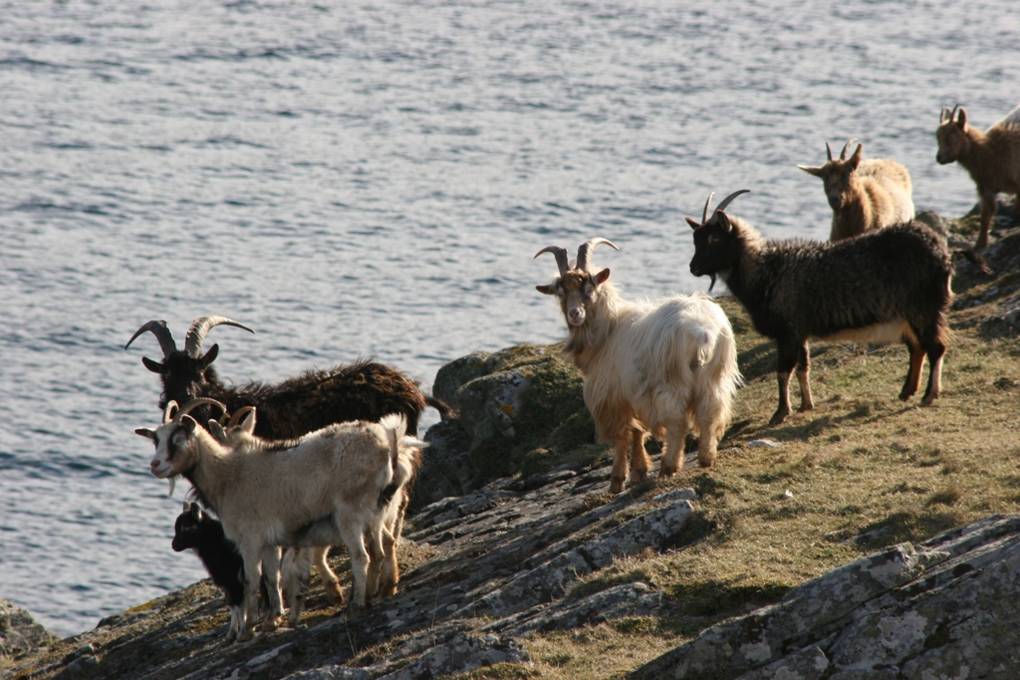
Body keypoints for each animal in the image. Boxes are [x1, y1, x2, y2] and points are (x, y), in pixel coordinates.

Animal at [136, 401, 424, 640]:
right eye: (156, 439)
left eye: (178, 438)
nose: (155, 466)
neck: (229, 475)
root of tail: (388, 446)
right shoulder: (270, 541)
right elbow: (272, 578)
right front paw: (272, 620)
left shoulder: (249, 539)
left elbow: (252, 580)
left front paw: (248, 630)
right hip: (375, 512)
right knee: (379, 549)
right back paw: (378, 593)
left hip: (350, 512)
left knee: (361, 556)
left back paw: (356, 605)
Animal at [535, 238, 740, 493]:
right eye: (561, 293)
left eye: (589, 289)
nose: (575, 314)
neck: (609, 328)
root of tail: (703, 334)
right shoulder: (632, 393)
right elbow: (637, 431)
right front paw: (638, 472)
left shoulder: (613, 396)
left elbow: (625, 434)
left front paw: (618, 479)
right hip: (713, 378)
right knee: (709, 414)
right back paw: (706, 458)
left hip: (671, 381)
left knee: (677, 422)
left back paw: (669, 466)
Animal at [687, 190, 953, 426]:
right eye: (696, 239)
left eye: (714, 239)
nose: (693, 268)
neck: (766, 271)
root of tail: (940, 253)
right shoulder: (800, 332)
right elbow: (804, 367)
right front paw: (806, 405)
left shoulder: (788, 331)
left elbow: (783, 371)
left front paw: (780, 413)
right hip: (908, 314)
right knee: (917, 347)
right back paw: (907, 391)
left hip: (924, 308)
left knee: (936, 347)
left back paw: (929, 395)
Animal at [936, 104, 1020, 249]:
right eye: (938, 136)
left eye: (952, 136)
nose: (939, 158)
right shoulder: (985, 187)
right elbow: (986, 214)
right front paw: (980, 243)